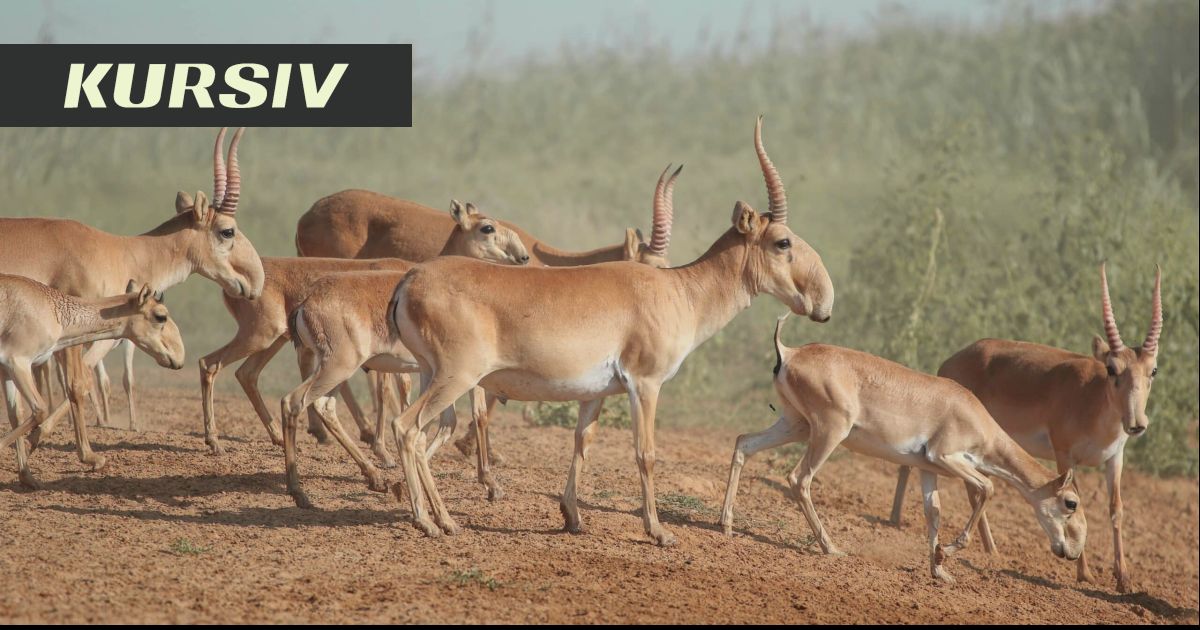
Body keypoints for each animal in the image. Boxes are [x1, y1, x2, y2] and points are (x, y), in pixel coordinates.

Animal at [0, 275, 184, 488]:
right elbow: (40, 409)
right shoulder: (17, 362)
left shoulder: (7, 370)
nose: (180, 357)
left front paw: (27, 477)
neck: (53, 312)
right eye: (160, 316)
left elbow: (16, 415)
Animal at [197, 200, 530, 455]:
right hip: (260, 336)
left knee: (247, 374)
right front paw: (383, 450)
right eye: (487, 227)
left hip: (273, 340)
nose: (523, 256)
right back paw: (215, 441)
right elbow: (390, 393)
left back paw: (280, 437)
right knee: (210, 363)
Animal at [386, 117, 832, 543]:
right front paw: (659, 532)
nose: (823, 303)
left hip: (431, 374)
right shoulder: (645, 384)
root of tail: (410, 279)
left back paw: (443, 519)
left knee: (426, 435)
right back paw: (428, 522)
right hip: (455, 377)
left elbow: (582, 442)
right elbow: (645, 453)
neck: (678, 290)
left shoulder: (594, 393)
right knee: (407, 428)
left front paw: (573, 517)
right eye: (782, 242)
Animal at [719, 317, 1088, 583]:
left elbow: (934, 513)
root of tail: (789, 352)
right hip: (828, 432)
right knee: (799, 479)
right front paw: (945, 556)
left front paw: (939, 569)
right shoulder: (946, 457)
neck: (973, 414)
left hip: (796, 425)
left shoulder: (928, 469)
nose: (1071, 551)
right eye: (1071, 502)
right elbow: (988, 487)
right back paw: (831, 548)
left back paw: (726, 525)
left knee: (744, 444)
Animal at [888, 263, 1162, 593]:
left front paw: (1123, 580)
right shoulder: (1064, 455)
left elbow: (1116, 508)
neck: (1092, 397)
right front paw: (1084, 573)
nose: (1137, 424)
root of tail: (950, 362)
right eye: (1112, 368)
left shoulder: (1115, 457)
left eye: (1153, 370)